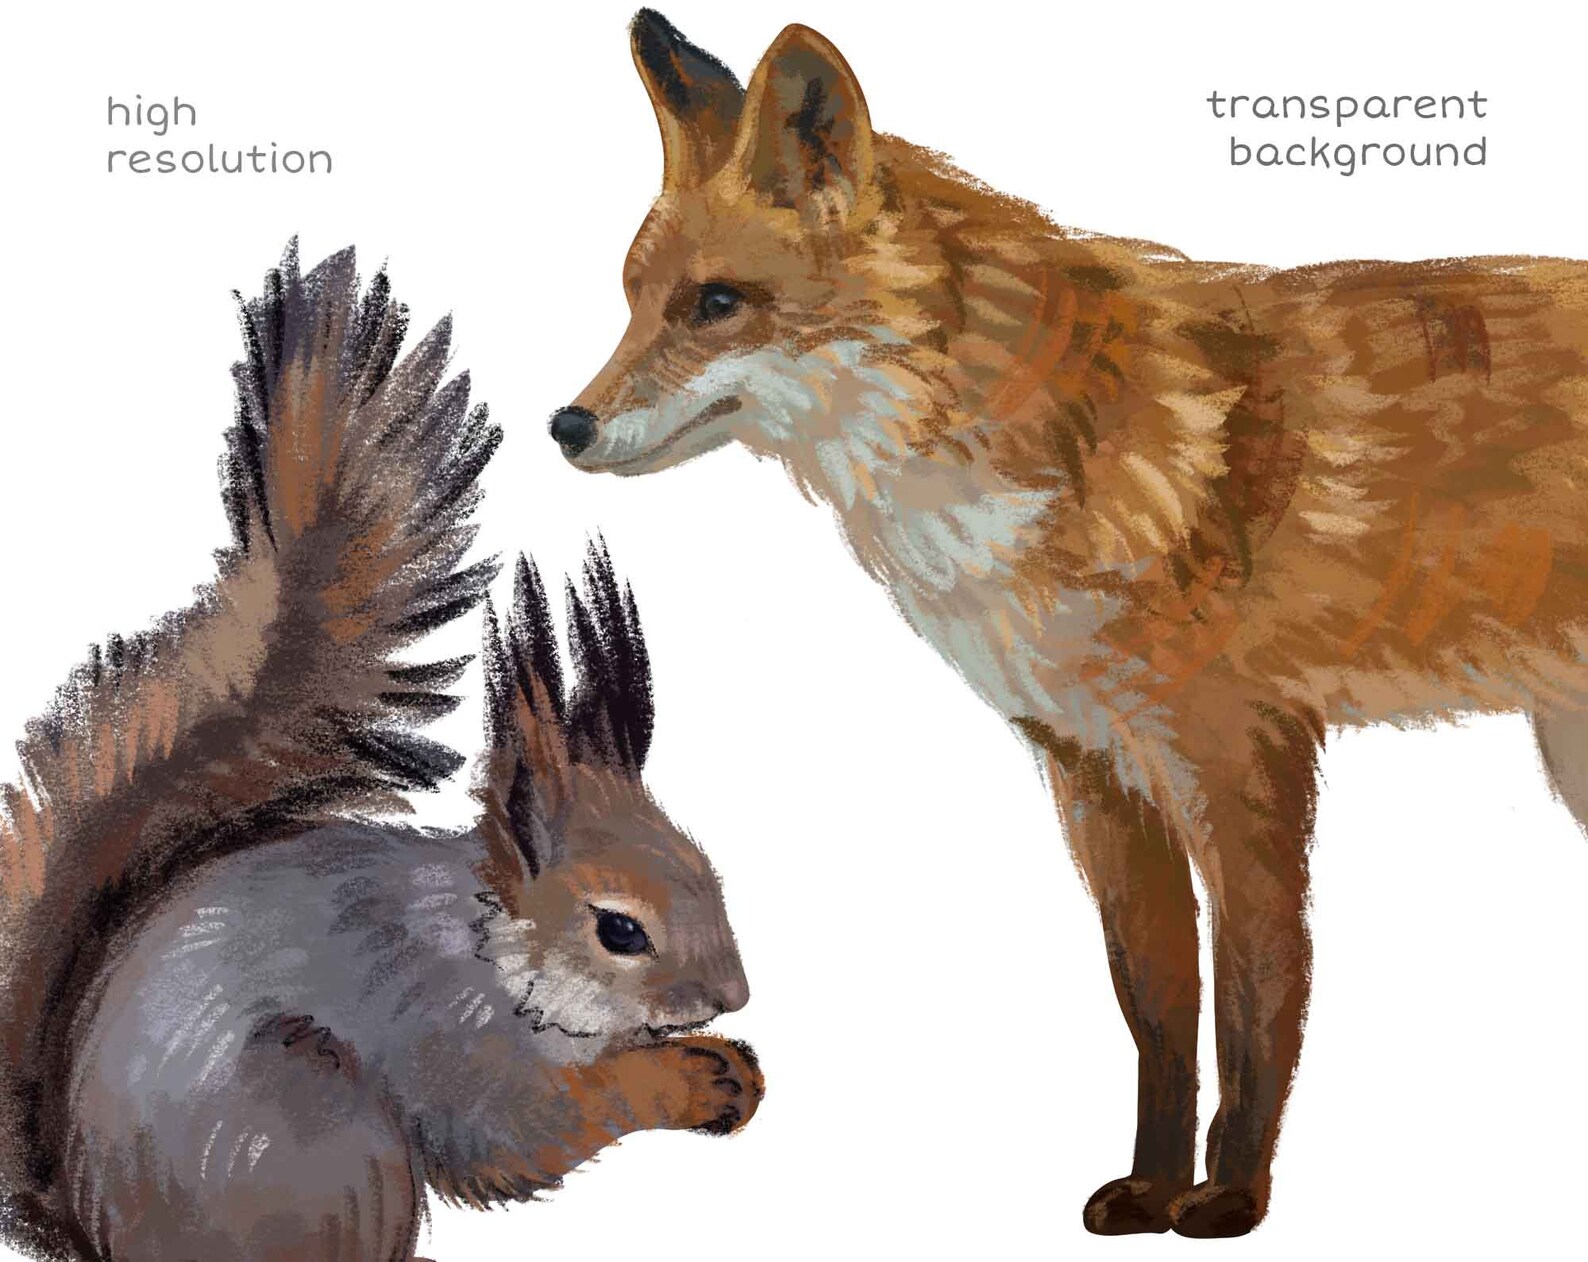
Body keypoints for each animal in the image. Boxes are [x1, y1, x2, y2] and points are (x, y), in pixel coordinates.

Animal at [0, 243, 760, 1262]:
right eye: (620, 930)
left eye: (707, 874)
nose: (732, 995)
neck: (497, 945)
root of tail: (96, 1233)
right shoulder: (448, 1033)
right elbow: (526, 1130)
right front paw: (682, 1080)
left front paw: (726, 1063)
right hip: (323, 1136)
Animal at [549, 8, 1588, 1238]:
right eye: (630, 297)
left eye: (716, 303)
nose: (566, 425)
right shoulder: (1092, 772)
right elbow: (1155, 1009)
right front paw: (1151, 1187)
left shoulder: (1241, 758)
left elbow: (1256, 997)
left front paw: (1232, 1196)